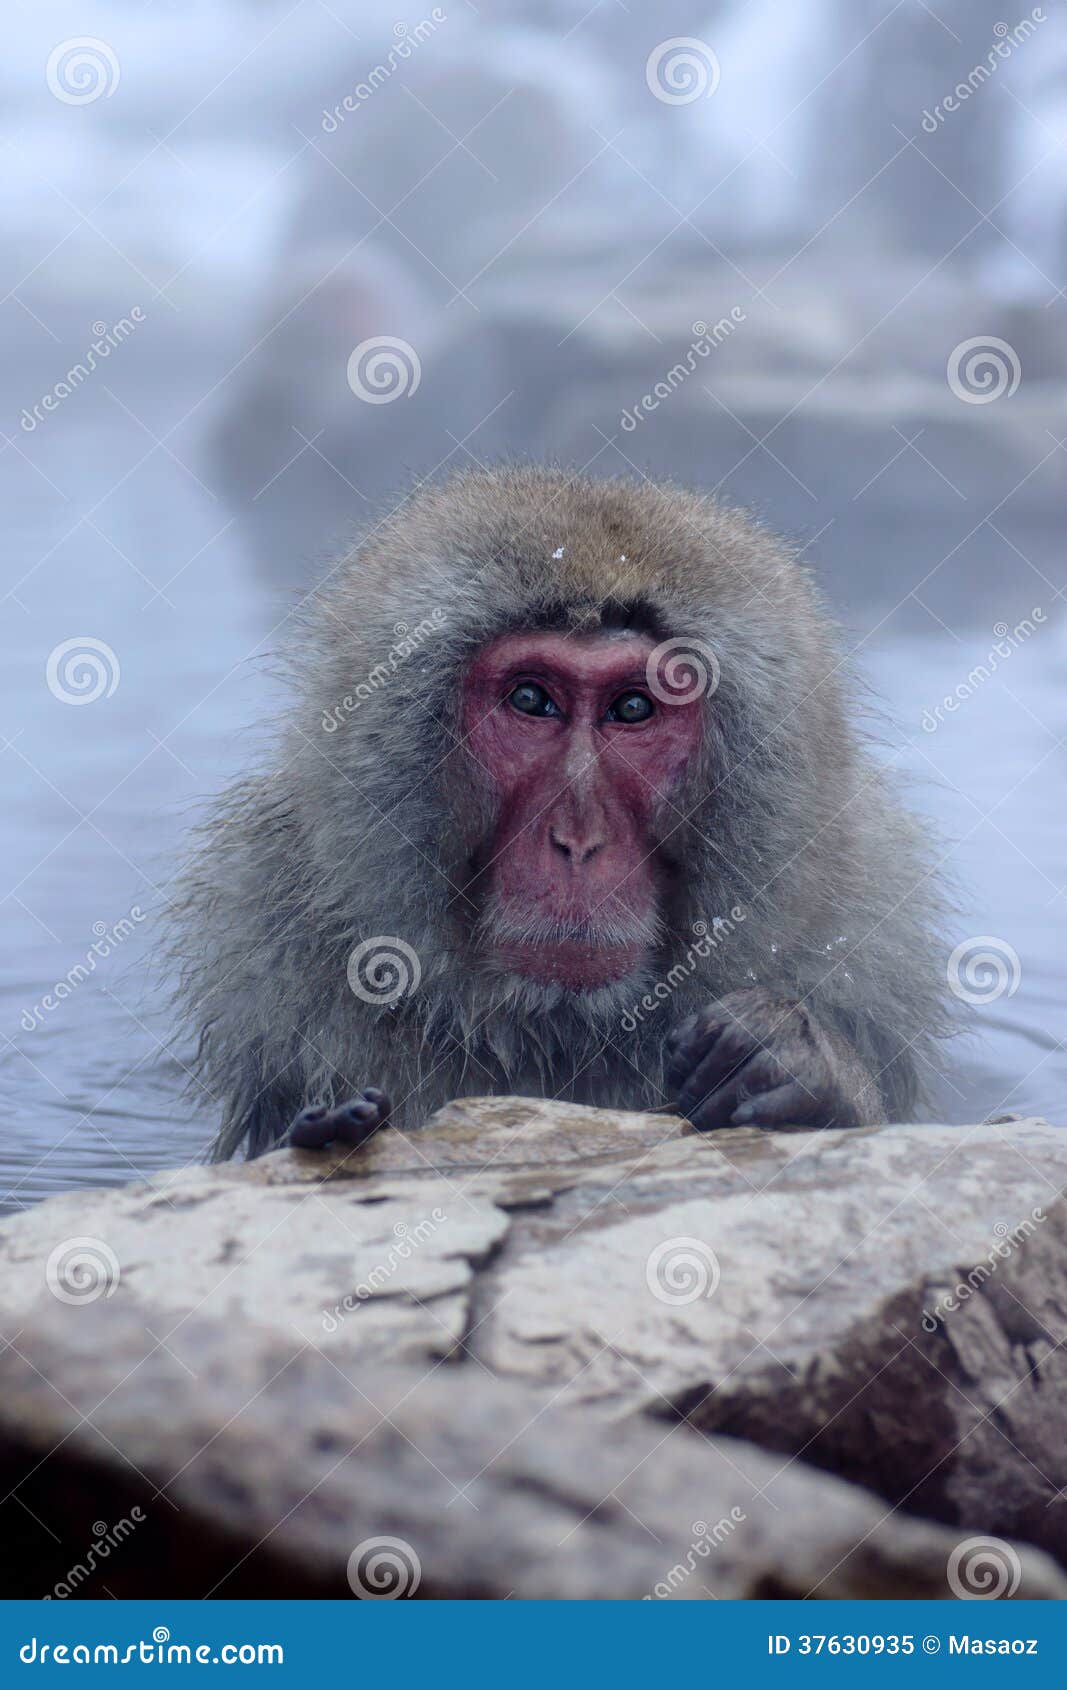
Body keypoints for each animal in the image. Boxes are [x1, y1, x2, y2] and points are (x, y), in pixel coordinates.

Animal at [174, 466, 951, 1159]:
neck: (556, 1031)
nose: (577, 841)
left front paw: (795, 1067)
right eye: (531, 700)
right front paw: (336, 1128)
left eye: (631, 709)